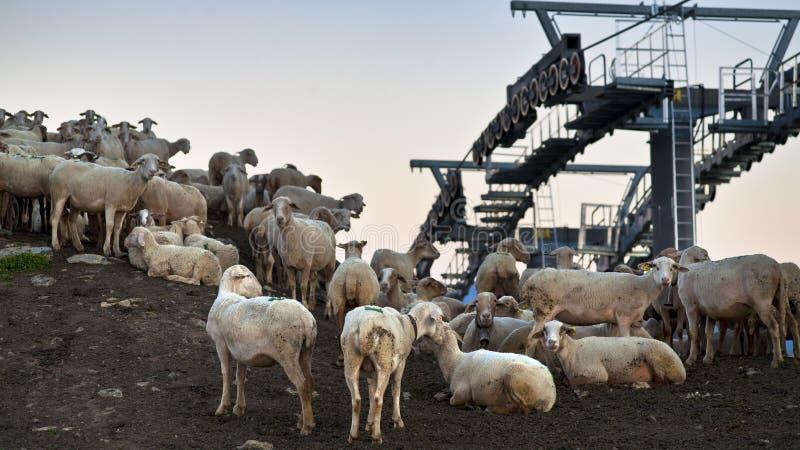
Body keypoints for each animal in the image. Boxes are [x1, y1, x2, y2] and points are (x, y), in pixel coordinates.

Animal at [206, 265, 316, 435]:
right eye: (248, 276)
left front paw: (222, 407)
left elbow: (225, 374)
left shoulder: (220, 343)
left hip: (287, 353)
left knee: (302, 384)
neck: (228, 295)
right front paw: (239, 408)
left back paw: (307, 426)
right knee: (309, 382)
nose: (260, 292)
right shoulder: (241, 352)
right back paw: (301, 421)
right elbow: (240, 377)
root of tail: (306, 319)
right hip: (305, 352)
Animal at [341, 302, 444, 444]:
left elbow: (371, 394)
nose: (442, 338)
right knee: (378, 399)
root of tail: (365, 324)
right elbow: (396, 389)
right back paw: (377, 437)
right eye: (440, 319)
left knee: (356, 400)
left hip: (351, 361)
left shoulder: (371, 374)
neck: (410, 326)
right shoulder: (401, 363)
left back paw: (353, 435)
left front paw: (370, 423)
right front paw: (397, 421)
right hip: (384, 362)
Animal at [422, 321, 556, 414]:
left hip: (514, 374)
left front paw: (470, 406)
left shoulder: (462, 391)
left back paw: (491, 409)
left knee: (522, 409)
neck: (455, 362)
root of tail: (551, 396)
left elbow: (453, 401)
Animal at [522, 256, 689, 343]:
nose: (666, 280)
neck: (644, 287)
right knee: (530, 338)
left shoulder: (615, 321)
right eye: (655, 267)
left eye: (673, 267)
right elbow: (626, 339)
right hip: (544, 311)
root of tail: (529, 282)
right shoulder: (624, 317)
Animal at [535, 319, 686, 387]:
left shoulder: (598, 374)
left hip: (658, 360)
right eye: (544, 331)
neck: (573, 351)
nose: (551, 342)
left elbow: (570, 381)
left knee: (663, 380)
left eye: (562, 330)